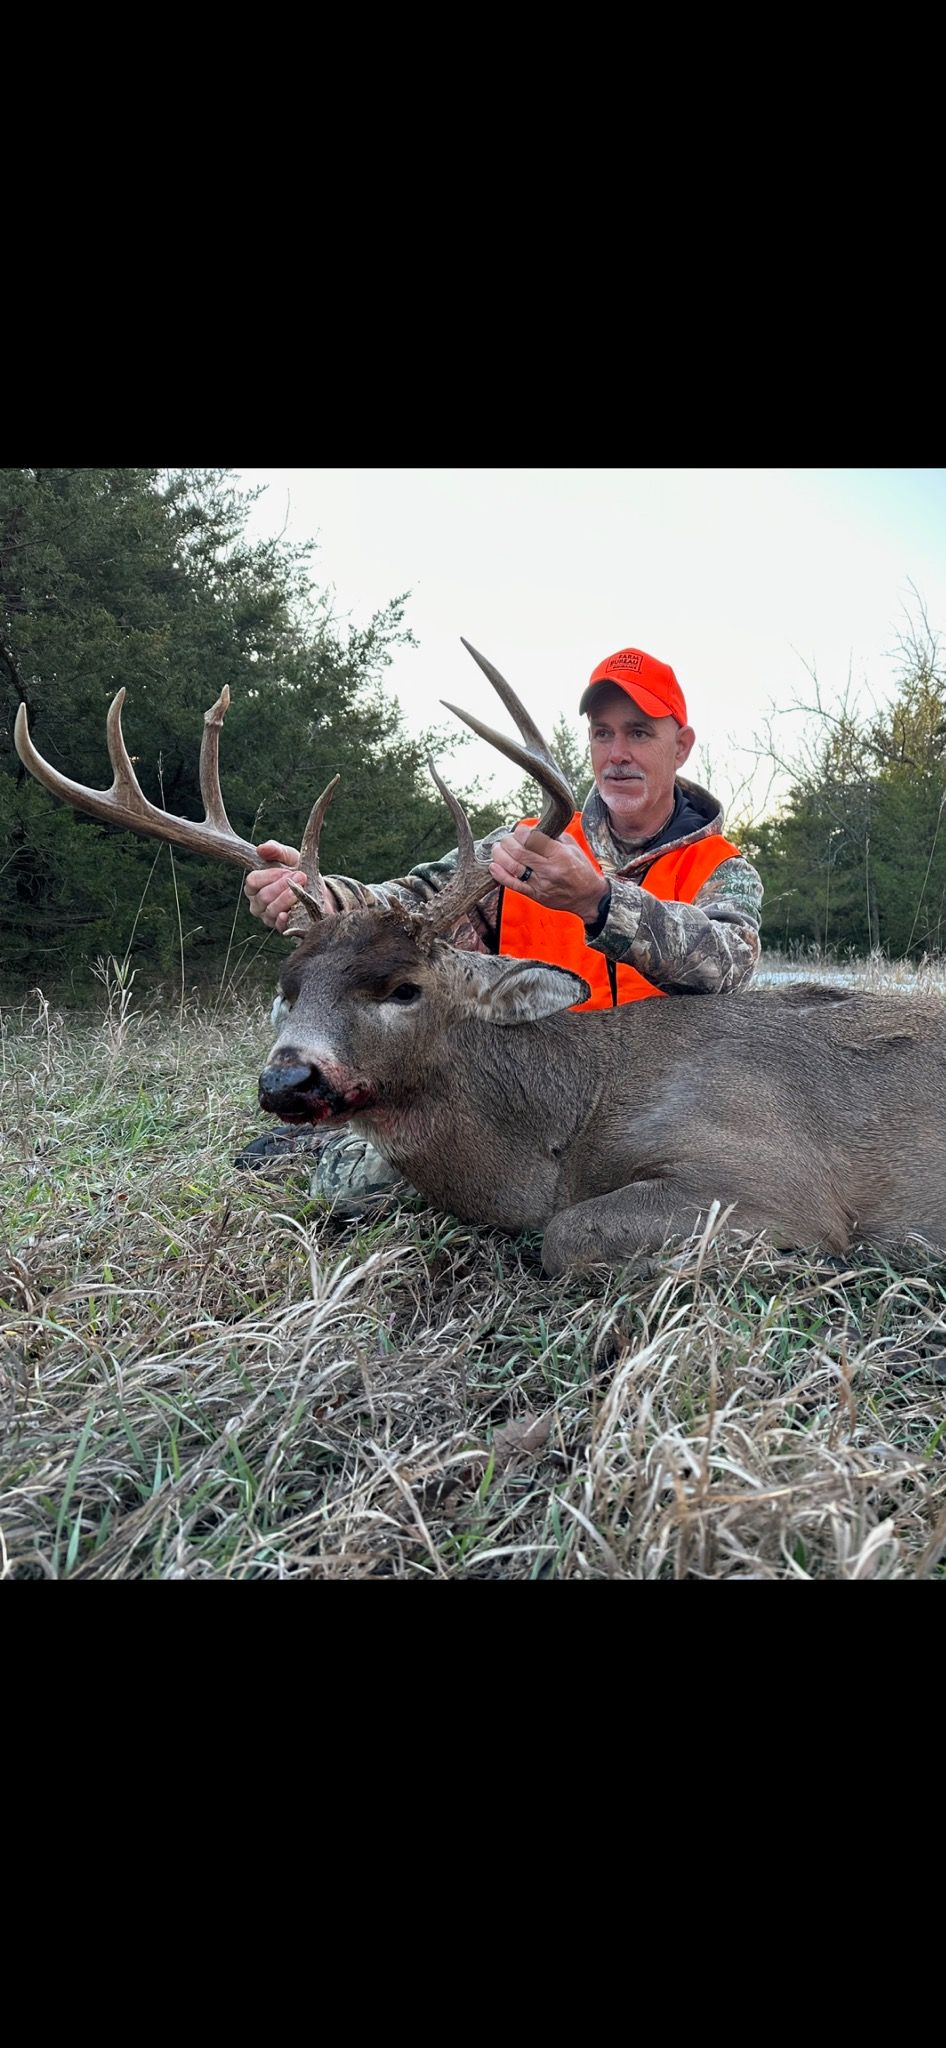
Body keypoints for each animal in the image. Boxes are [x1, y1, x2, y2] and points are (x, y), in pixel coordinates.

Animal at [15, 642, 946, 1277]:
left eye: (403, 988)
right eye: (286, 989)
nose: (288, 1080)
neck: (563, 1125)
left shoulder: (775, 1180)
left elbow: (568, 1236)